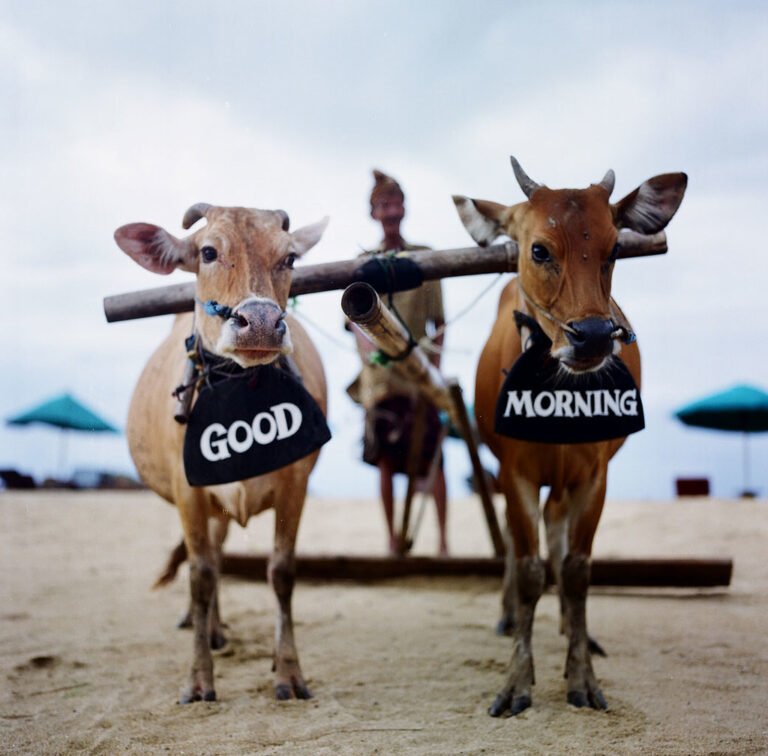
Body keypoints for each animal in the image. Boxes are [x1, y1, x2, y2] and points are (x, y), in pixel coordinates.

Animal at [114, 204, 329, 703]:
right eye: (208, 252)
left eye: (290, 258)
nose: (263, 323)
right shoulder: (188, 491)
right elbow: (200, 576)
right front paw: (198, 678)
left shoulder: (295, 484)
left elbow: (281, 572)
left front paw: (288, 671)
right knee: (209, 561)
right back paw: (207, 630)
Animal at [453, 158, 686, 716]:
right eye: (539, 249)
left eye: (614, 248)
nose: (595, 335)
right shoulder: (514, 471)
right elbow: (529, 566)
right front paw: (516, 681)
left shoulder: (593, 474)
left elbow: (576, 570)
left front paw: (581, 674)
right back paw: (509, 615)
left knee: (557, 543)